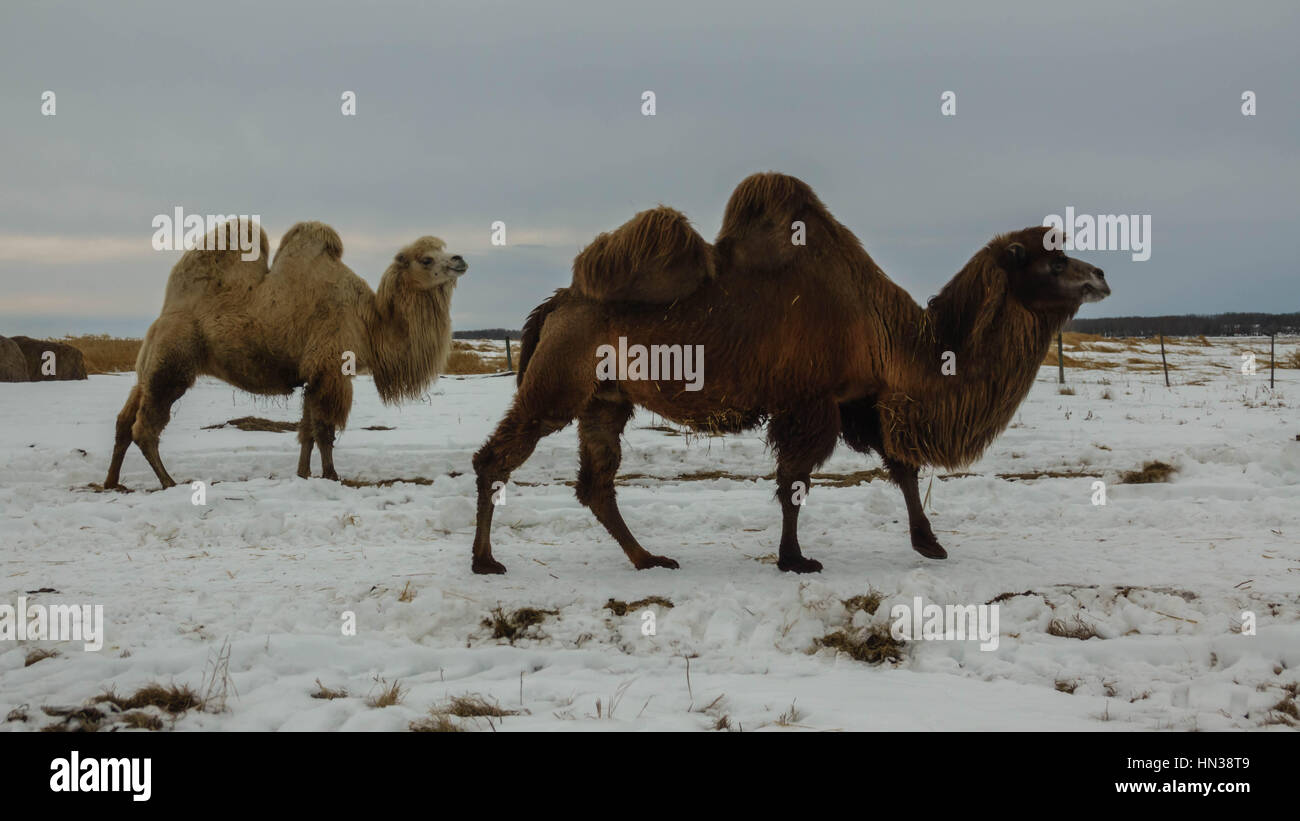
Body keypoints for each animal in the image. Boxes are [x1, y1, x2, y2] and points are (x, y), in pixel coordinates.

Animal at [104, 220, 465, 489]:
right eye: (426, 259)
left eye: (443, 251)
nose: (460, 260)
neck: (369, 321)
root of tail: (165, 312)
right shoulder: (331, 368)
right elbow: (324, 430)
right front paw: (332, 476)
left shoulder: (311, 374)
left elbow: (306, 431)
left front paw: (303, 474)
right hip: (174, 361)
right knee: (145, 427)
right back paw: (168, 481)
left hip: (150, 365)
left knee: (124, 419)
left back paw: (112, 482)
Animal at [470, 172, 1109, 574]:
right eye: (1054, 260)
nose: (1101, 275)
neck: (895, 334)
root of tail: (556, 304)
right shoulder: (814, 403)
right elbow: (794, 484)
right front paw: (796, 560)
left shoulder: (860, 400)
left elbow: (901, 468)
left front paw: (929, 544)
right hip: (558, 385)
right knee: (497, 458)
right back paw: (485, 561)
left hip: (606, 400)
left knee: (597, 483)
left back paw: (649, 559)